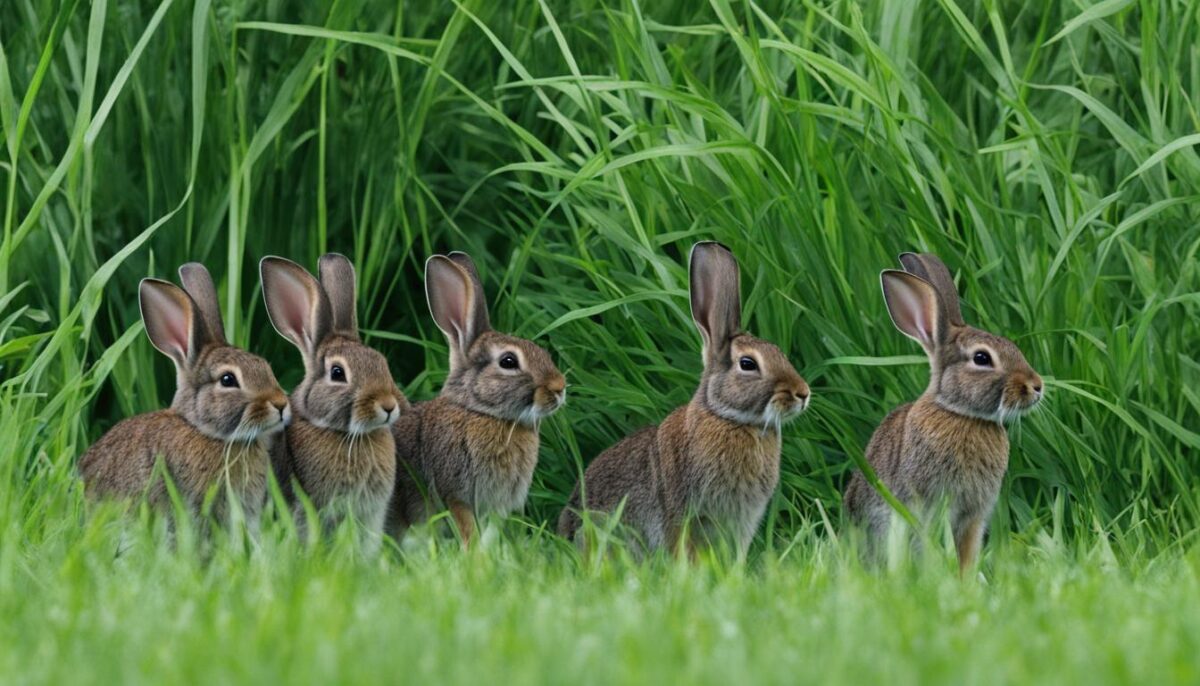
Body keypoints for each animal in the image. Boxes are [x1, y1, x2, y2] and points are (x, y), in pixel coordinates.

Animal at [386, 252, 566, 547]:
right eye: (508, 362)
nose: (559, 388)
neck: (481, 413)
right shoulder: (455, 493)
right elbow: (466, 526)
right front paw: (472, 552)